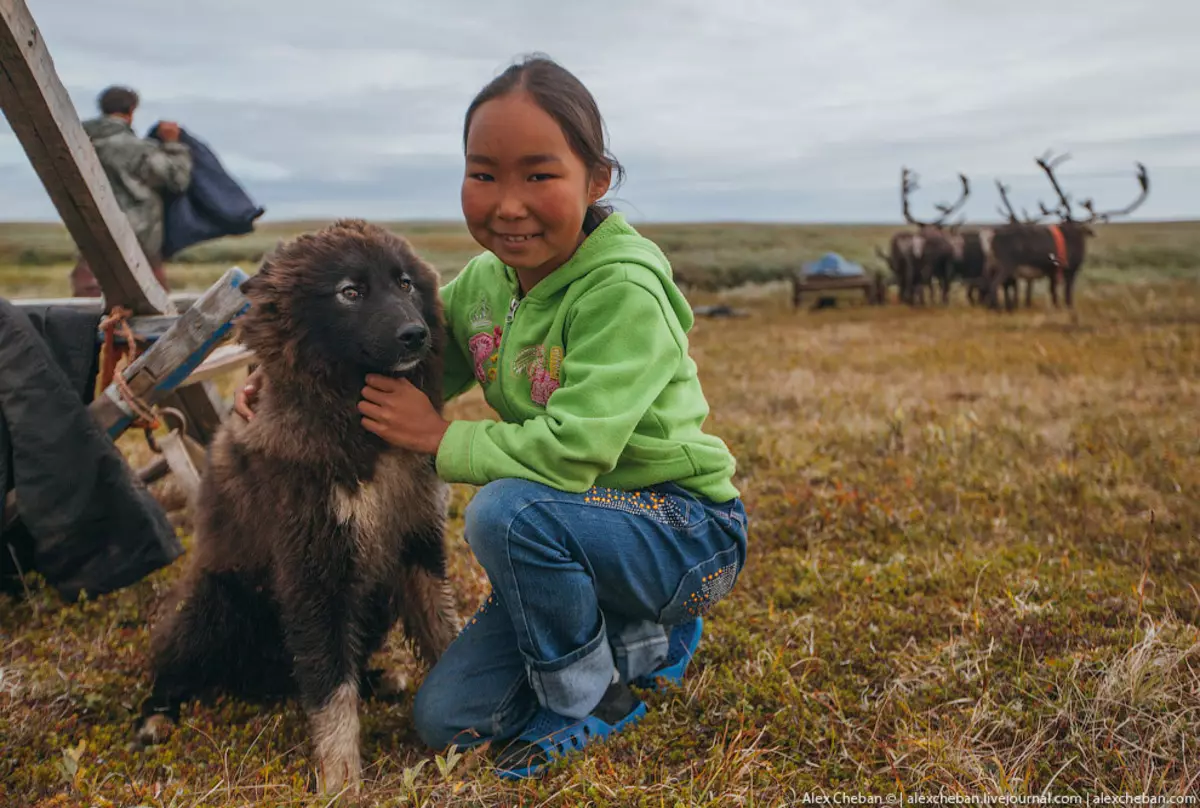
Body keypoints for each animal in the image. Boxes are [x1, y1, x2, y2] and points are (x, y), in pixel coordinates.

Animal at [136, 217, 458, 792]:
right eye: (350, 292)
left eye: (404, 284)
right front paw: (341, 779)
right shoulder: (314, 570)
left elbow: (442, 631)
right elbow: (329, 685)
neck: (353, 424)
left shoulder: (416, 544)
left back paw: (378, 679)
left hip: (373, 596)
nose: (415, 334)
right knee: (177, 665)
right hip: (215, 601)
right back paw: (157, 716)